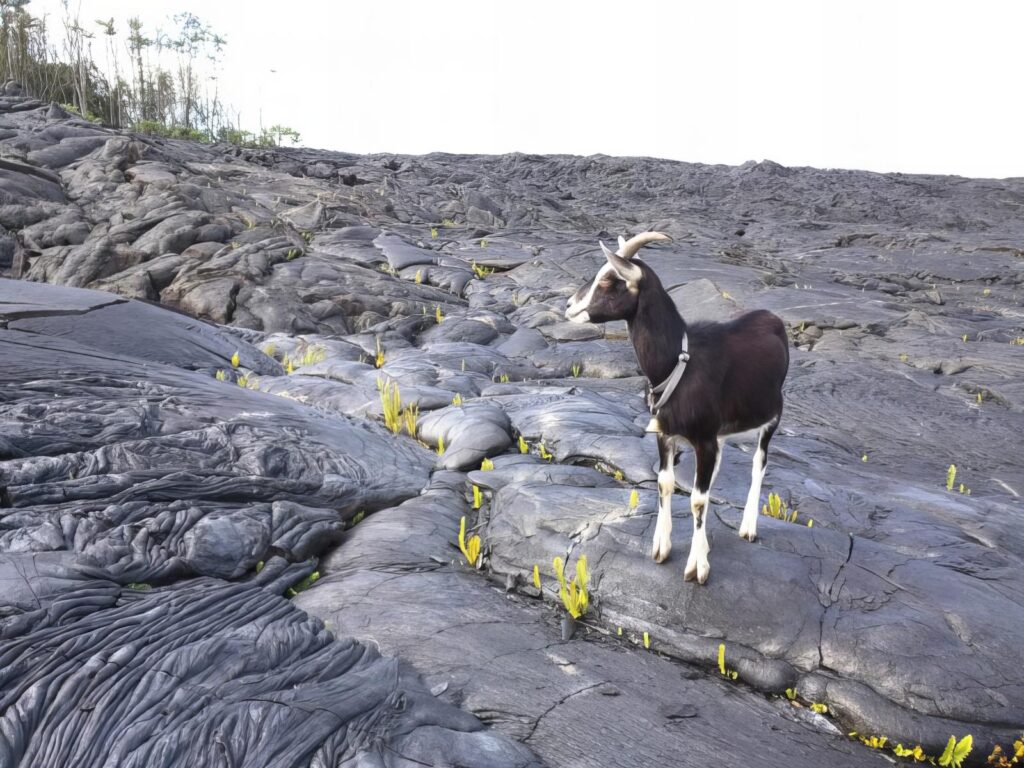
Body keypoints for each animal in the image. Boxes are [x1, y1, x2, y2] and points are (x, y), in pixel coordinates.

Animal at [565, 232, 789, 584]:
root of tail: (772, 317)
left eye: (610, 280)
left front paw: (698, 567)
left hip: (771, 418)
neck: (678, 364)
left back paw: (749, 527)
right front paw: (662, 547)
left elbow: (697, 500)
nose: (569, 306)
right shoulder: (666, 434)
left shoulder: (704, 439)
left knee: (758, 465)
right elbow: (666, 483)